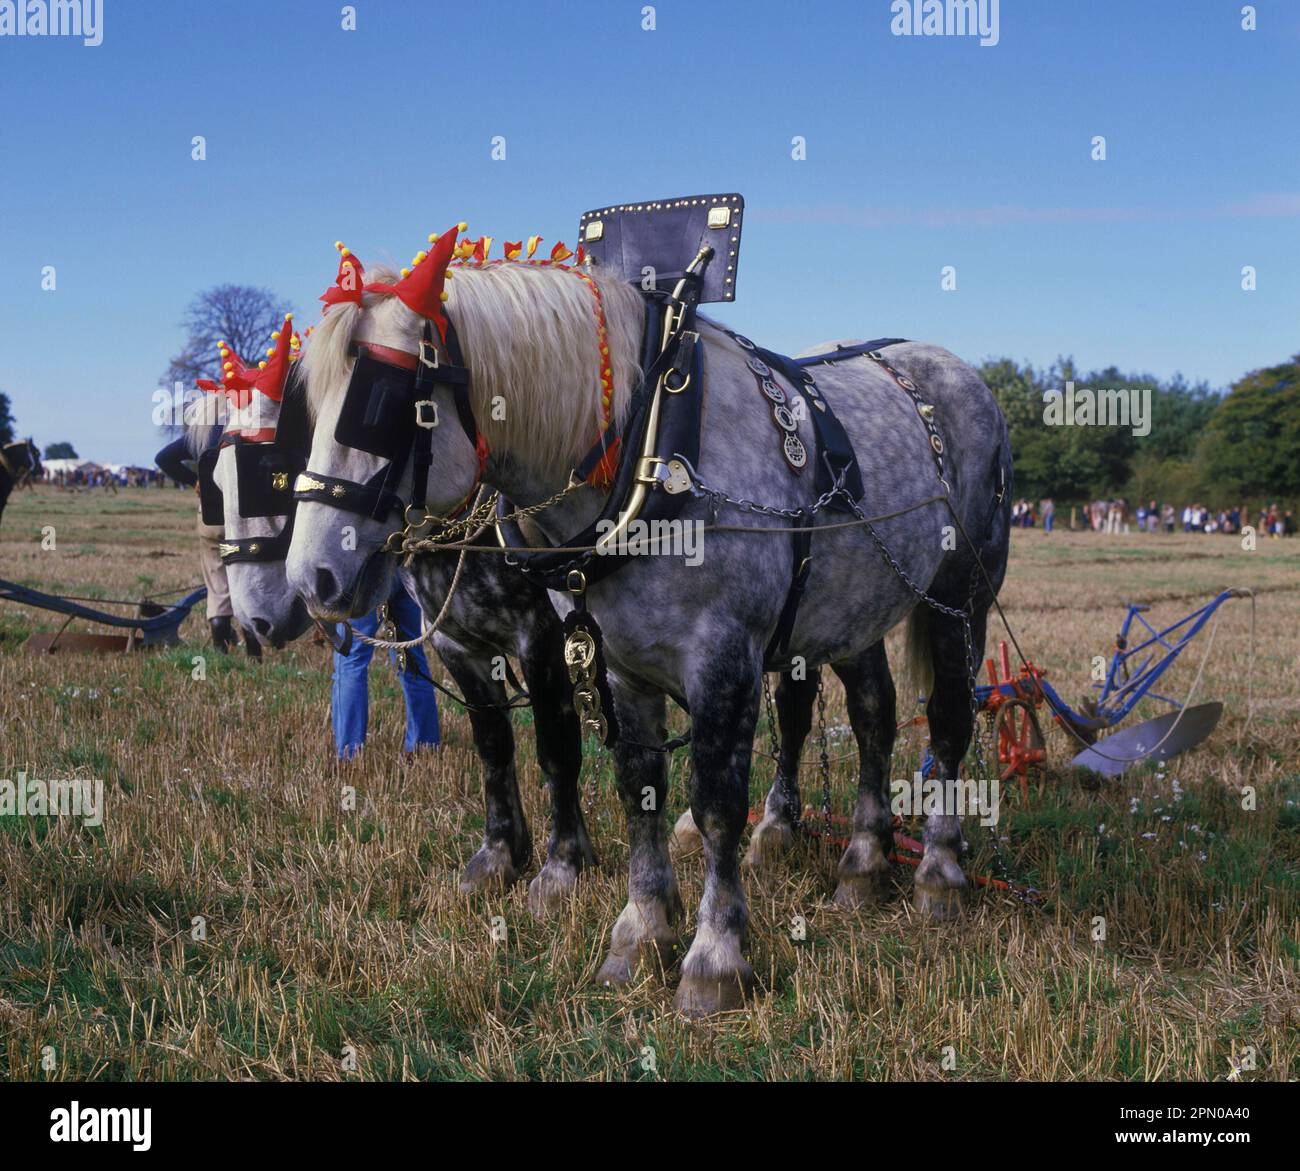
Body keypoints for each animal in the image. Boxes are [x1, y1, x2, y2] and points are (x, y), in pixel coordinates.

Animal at [189, 311, 595, 913]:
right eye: (213, 483)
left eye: (272, 471)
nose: (255, 618)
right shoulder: (457, 644)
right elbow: (493, 745)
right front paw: (501, 855)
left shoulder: (545, 638)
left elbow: (557, 747)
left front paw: (564, 865)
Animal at [287, 232, 1012, 1015]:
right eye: (309, 405)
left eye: (382, 400)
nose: (311, 577)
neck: (653, 441)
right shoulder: (614, 663)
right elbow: (636, 790)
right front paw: (640, 934)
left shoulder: (719, 659)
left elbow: (715, 803)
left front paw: (714, 956)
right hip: (853, 609)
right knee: (874, 713)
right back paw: (864, 861)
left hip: (960, 598)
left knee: (948, 720)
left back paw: (938, 869)